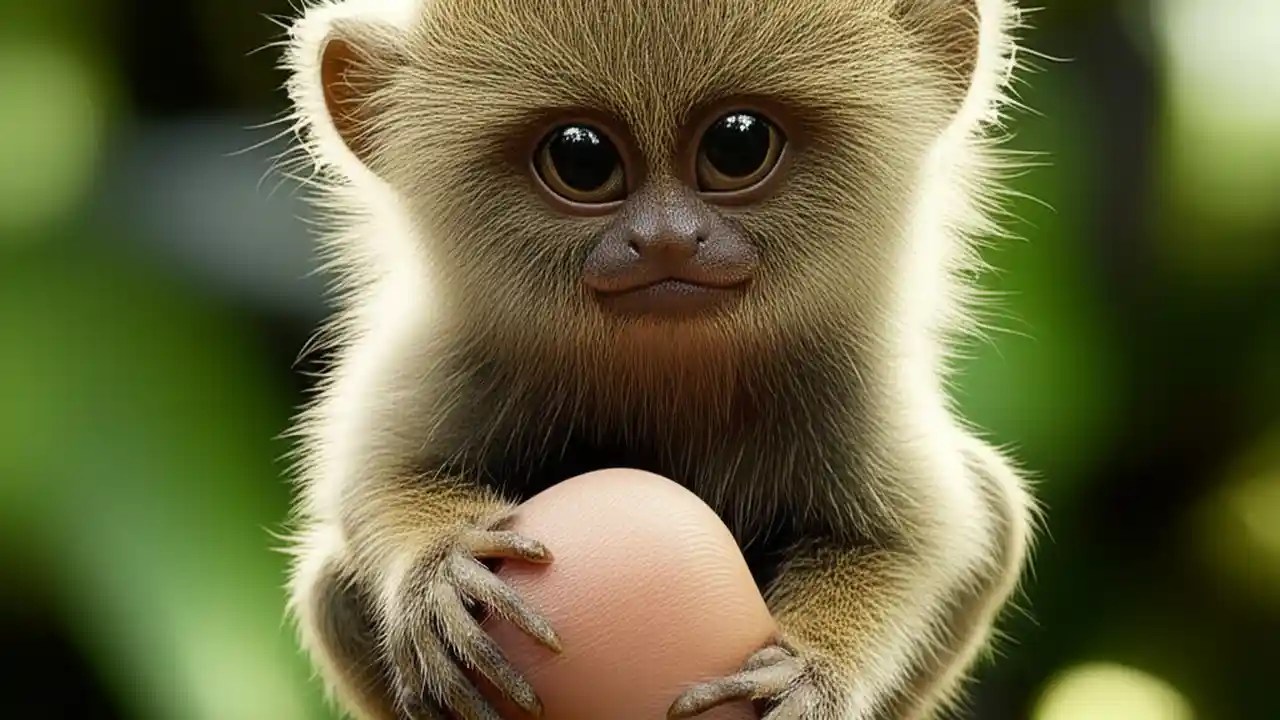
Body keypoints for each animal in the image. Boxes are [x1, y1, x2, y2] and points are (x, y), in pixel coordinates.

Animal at [280, 0, 1037, 719]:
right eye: (581, 160)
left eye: (738, 145)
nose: (667, 238)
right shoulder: (444, 357)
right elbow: (376, 479)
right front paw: (442, 565)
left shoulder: (857, 390)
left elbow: (913, 539)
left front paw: (815, 670)